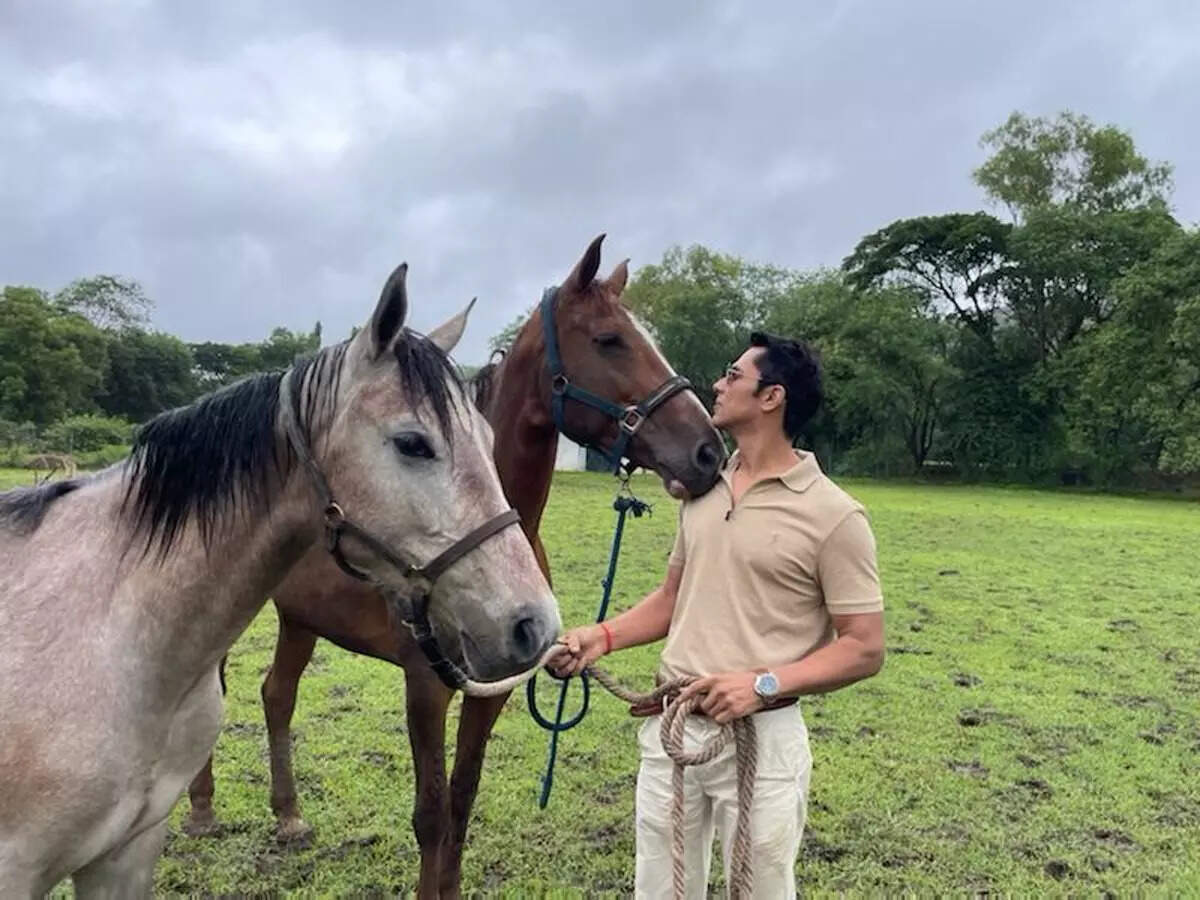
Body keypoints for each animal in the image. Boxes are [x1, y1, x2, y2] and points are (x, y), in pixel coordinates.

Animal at [185, 235, 726, 898]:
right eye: (608, 339)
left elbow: (462, 802)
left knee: (276, 695)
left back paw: (288, 816)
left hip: (299, 620)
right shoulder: (426, 688)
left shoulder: (491, 689)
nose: (709, 452)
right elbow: (431, 813)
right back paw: (202, 809)